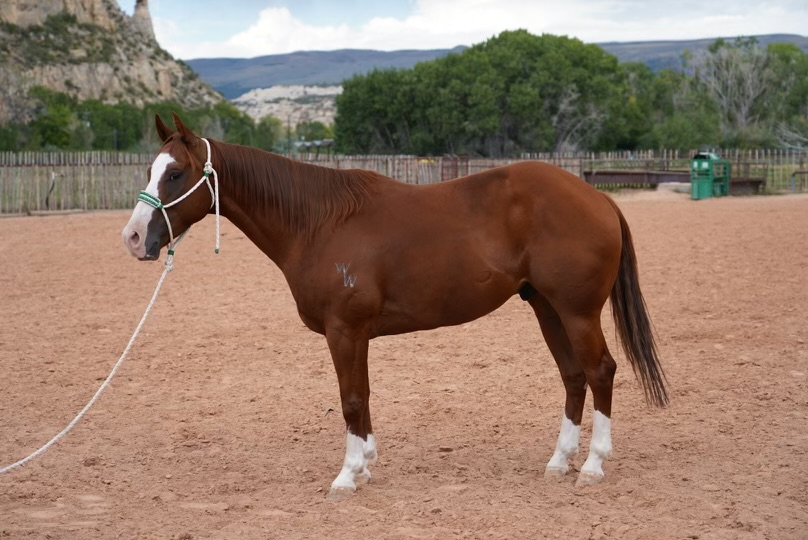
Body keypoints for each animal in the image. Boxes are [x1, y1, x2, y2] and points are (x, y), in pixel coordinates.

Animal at [122, 113, 668, 498]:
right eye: (150, 170)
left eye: (176, 174)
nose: (133, 238)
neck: (318, 221)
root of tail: (597, 197)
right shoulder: (355, 333)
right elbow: (362, 396)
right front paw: (364, 465)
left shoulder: (344, 330)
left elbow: (350, 399)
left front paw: (346, 476)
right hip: (547, 308)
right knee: (573, 376)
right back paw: (559, 462)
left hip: (577, 312)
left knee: (600, 371)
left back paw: (592, 467)